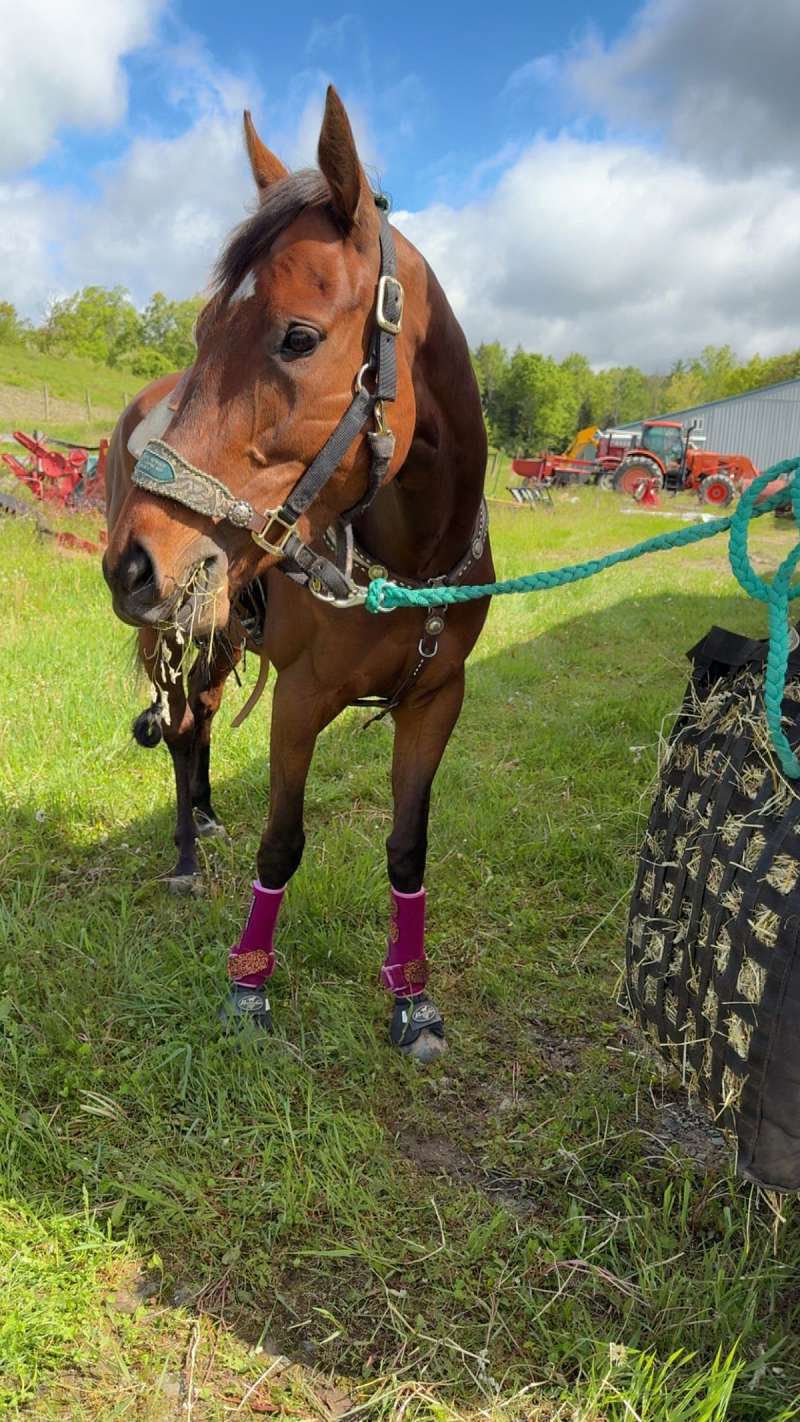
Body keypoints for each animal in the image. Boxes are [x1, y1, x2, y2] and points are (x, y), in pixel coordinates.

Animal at [103, 87, 492, 1060]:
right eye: (203, 330)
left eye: (299, 337)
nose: (132, 563)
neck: (413, 563)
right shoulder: (301, 698)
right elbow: (282, 842)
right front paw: (248, 990)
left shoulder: (438, 700)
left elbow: (408, 848)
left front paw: (412, 999)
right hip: (182, 626)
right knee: (181, 728)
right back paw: (187, 853)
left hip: (208, 618)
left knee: (199, 719)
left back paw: (205, 815)